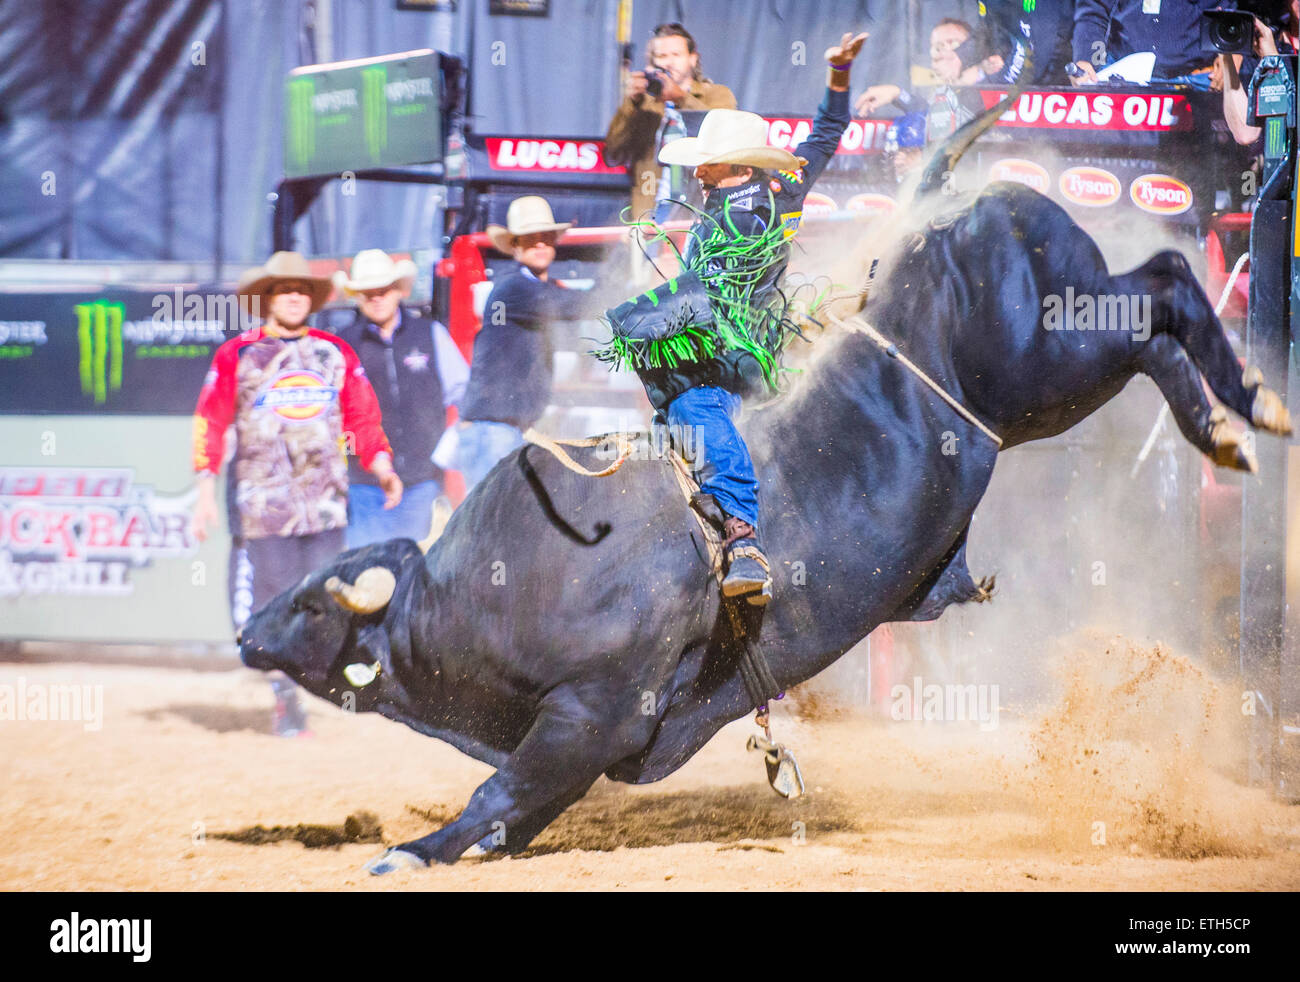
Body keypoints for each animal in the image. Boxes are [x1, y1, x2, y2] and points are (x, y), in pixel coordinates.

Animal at [238, 174, 1290, 871]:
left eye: (309, 600)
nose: (245, 629)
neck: (467, 600)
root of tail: (975, 207)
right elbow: (513, 815)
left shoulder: (593, 711)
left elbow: (500, 792)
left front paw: (407, 853)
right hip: (1052, 374)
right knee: (1157, 308)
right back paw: (1231, 423)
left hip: (1046, 358)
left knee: (1162, 290)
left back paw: (1249, 410)